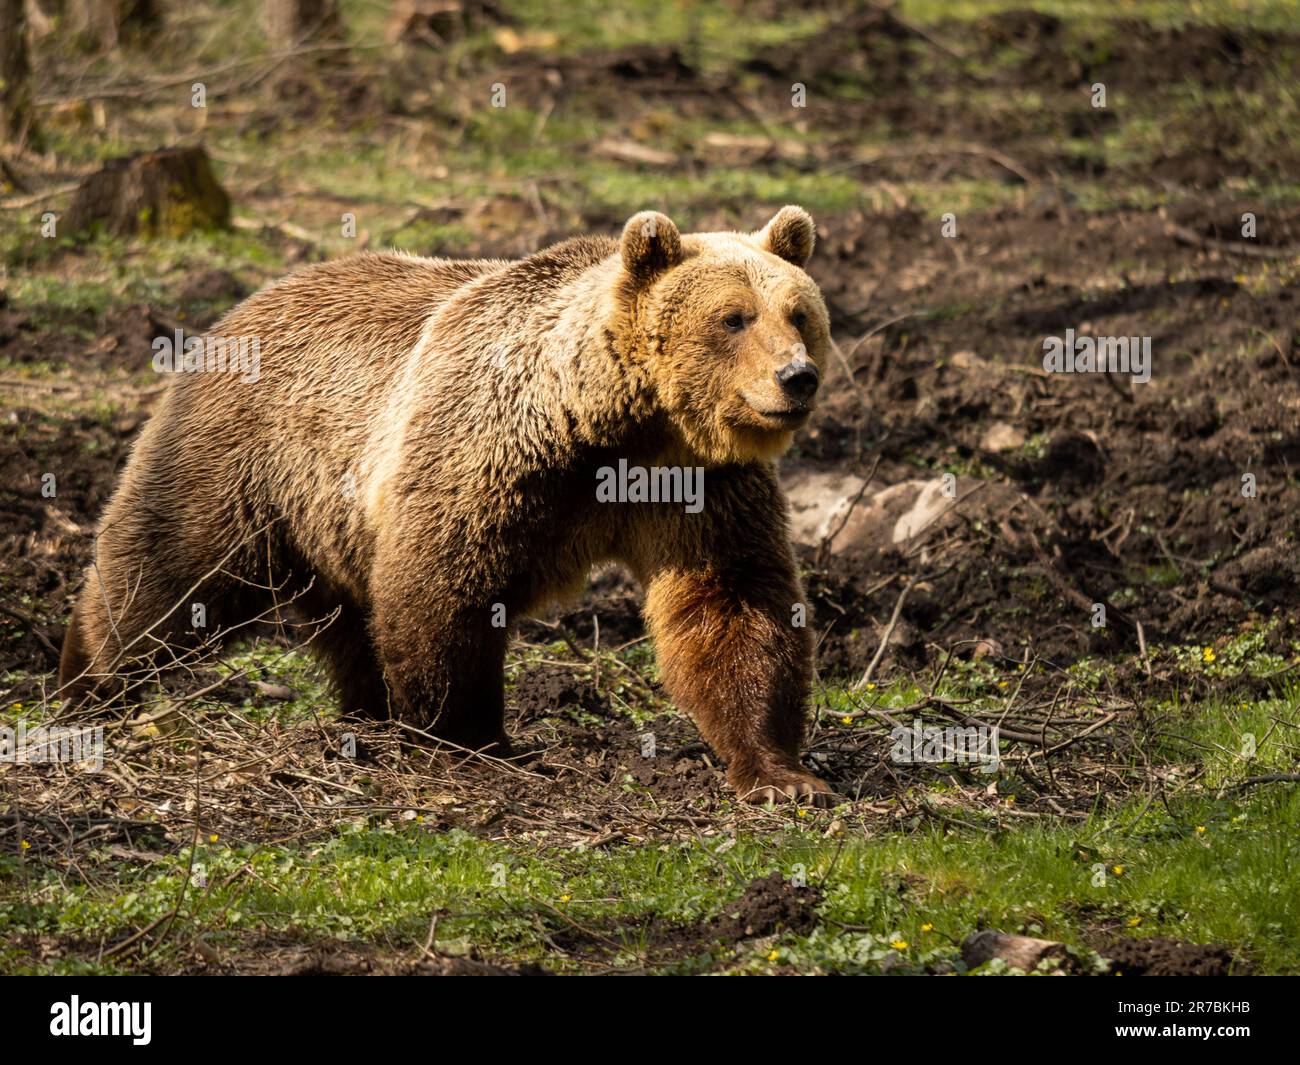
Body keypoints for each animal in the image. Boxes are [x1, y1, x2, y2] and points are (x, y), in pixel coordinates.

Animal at [58, 205, 835, 806]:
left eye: (799, 313)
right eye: (732, 317)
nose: (796, 377)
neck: (616, 425)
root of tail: (243, 306)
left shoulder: (700, 485)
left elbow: (733, 603)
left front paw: (780, 773)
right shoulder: (491, 449)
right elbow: (443, 586)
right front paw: (467, 736)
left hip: (330, 521)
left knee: (348, 619)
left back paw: (365, 715)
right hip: (241, 457)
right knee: (167, 569)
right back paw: (89, 682)